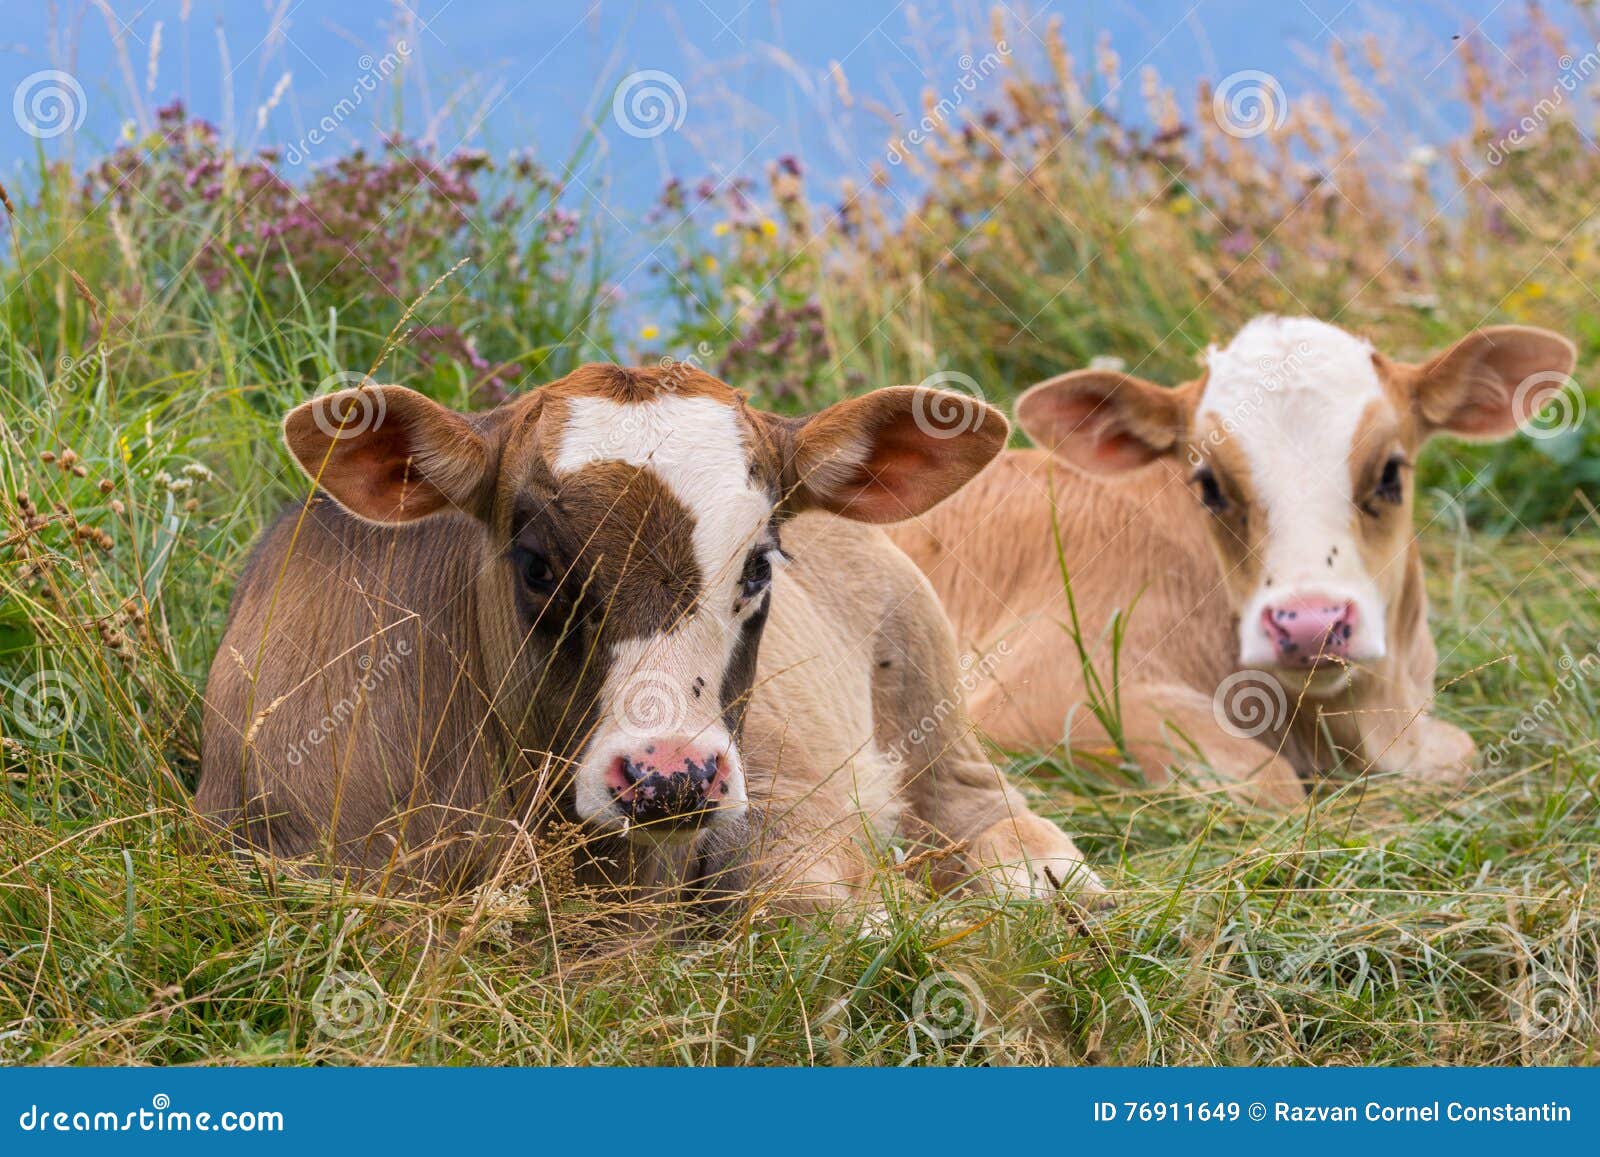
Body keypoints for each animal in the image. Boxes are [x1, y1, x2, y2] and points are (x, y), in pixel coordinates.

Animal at [889, 318, 1576, 807]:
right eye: (1210, 485)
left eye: (1390, 472)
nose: (1310, 623)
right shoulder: (1039, 690)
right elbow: (1267, 782)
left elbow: (1458, 752)